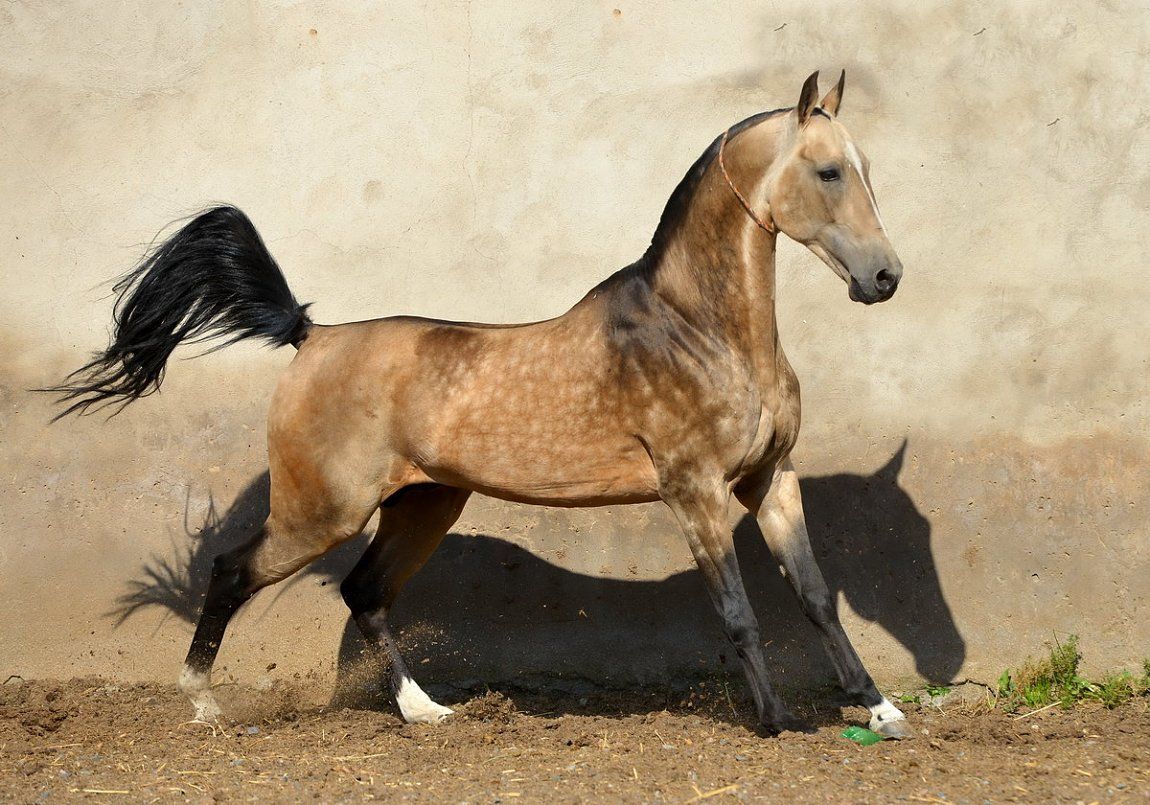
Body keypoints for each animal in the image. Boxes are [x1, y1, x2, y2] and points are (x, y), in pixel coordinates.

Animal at [50, 70, 909, 738]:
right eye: (828, 171)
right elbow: (736, 608)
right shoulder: (693, 488)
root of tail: (309, 334)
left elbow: (815, 595)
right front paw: (774, 718)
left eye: (867, 166)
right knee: (234, 570)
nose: (885, 277)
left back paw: (425, 710)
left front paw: (879, 708)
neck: (698, 329)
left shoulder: (771, 478)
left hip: (424, 504)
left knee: (364, 593)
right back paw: (202, 704)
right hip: (320, 510)